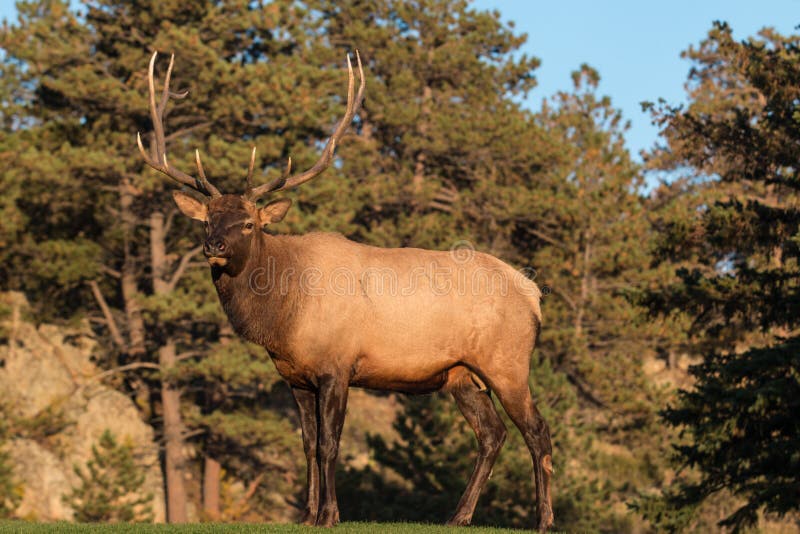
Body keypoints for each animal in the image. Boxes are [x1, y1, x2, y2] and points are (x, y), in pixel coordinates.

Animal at [137, 50, 554, 531]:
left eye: (248, 224)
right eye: (207, 220)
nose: (214, 246)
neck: (283, 315)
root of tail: (533, 294)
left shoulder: (337, 366)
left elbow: (329, 444)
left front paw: (330, 514)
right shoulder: (294, 376)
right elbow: (306, 444)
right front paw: (306, 514)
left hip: (508, 363)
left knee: (537, 432)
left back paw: (544, 520)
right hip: (461, 374)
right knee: (492, 434)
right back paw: (459, 516)